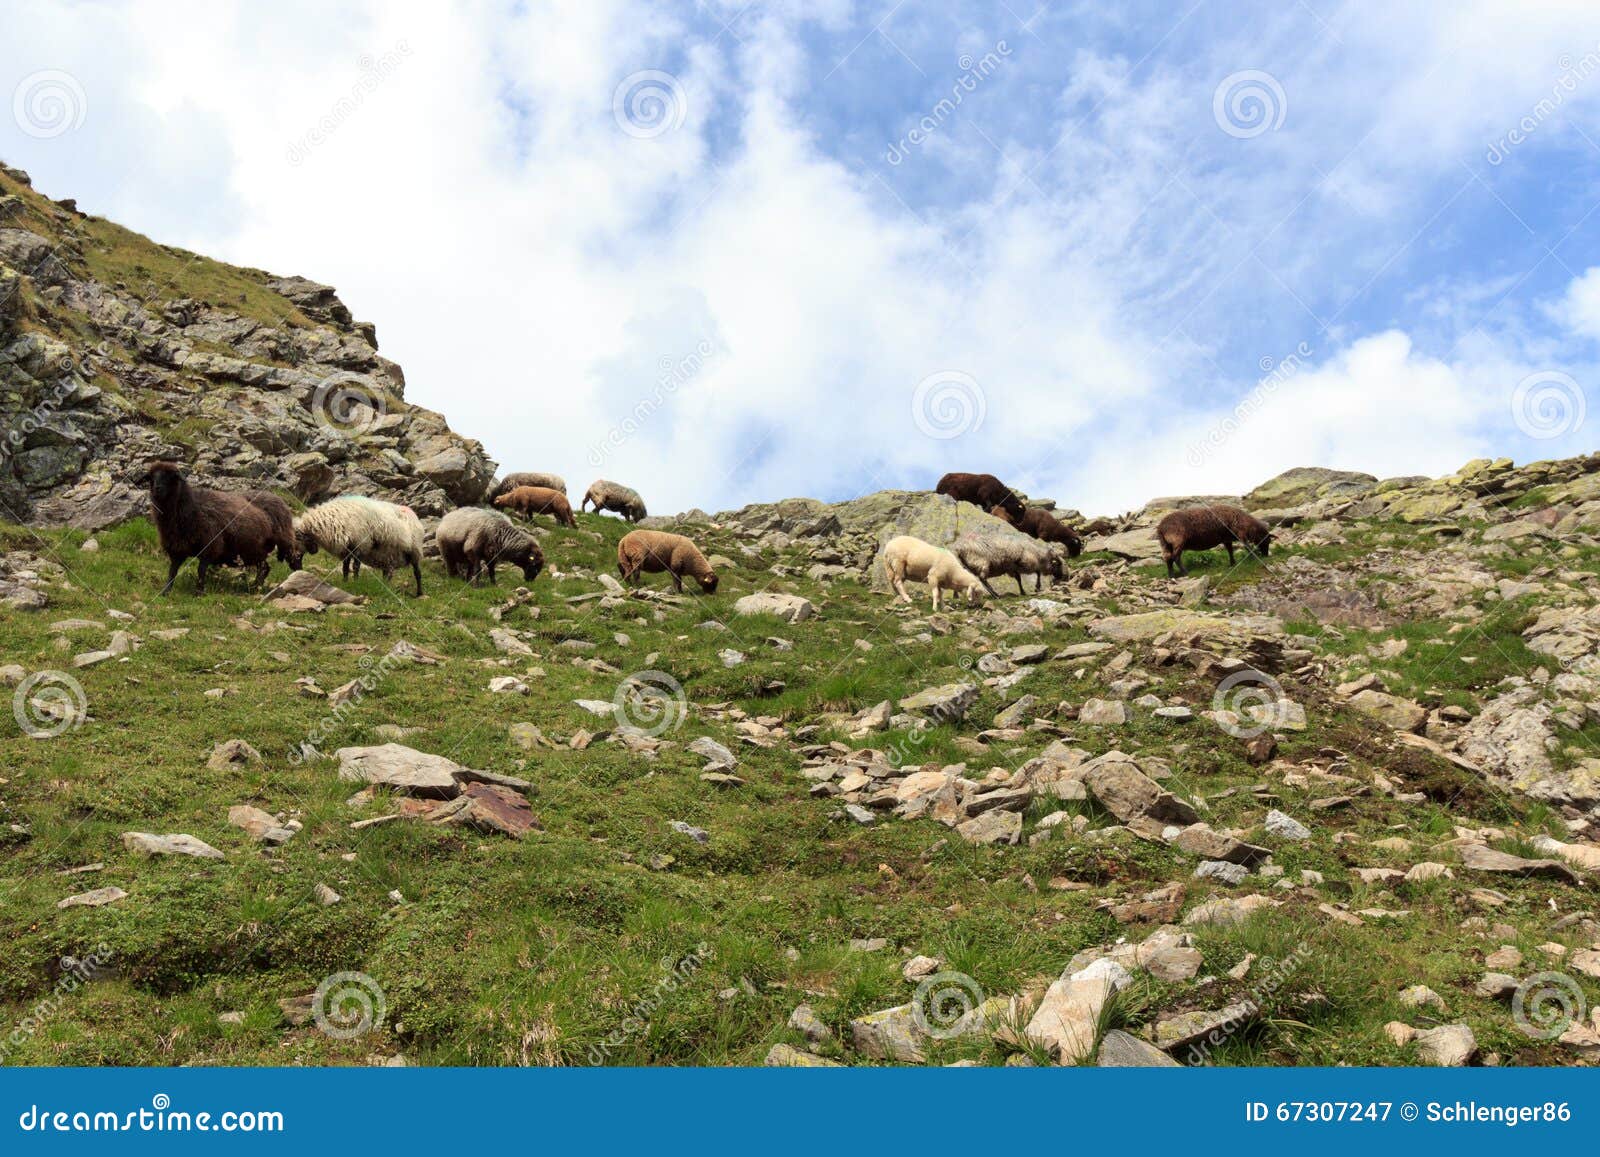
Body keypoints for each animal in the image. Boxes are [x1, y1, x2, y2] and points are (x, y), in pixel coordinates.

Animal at [135, 462, 281, 595]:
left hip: (256, 550)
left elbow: (201, 570)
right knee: (265, 567)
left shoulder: (209, 547)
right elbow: (172, 571)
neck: (193, 509)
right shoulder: (176, 548)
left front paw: (199, 592)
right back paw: (255, 586)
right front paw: (165, 592)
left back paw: (255, 587)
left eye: (171, 476)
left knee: (264, 568)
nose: (157, 488)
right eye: (151, 477)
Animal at [290, 495, 425, 596]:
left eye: (299, 539)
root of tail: (415, 515)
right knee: (388, 572)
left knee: (417, 572)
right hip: (388, 555)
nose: (296, 565)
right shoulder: (346, 549)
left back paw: (419, 593)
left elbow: (355, 567)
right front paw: (345, 582)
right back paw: (386, 586)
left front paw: (355, 582)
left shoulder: (360, 544)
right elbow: (345, 567)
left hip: (415, 550)